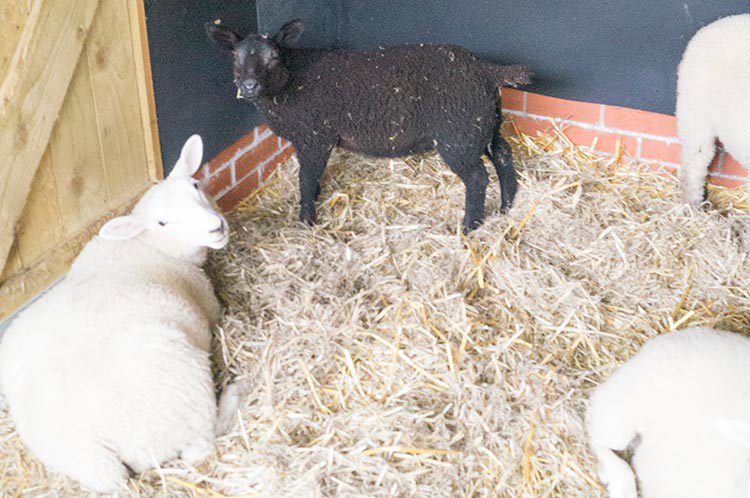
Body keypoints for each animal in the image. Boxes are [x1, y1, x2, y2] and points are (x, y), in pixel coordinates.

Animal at [0, 135, 236, 493]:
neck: (146, 247)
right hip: (186, 397)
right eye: (162, 223)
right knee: (201, 445)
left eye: (196, 185)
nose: (216, 227)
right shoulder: (209, 306)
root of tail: (99, 450)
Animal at [206, 19, 532, 232]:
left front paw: (306, 220)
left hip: (459, 136)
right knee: (504, 156)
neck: (290, 81)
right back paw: (506, 206)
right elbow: (313, 178)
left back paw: (469, 227)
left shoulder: (314, 136)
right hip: (485, 125)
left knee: (477, 179)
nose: (249, 86)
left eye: (274, 57)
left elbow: (306, 178)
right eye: (235, 57)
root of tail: (487, 70)